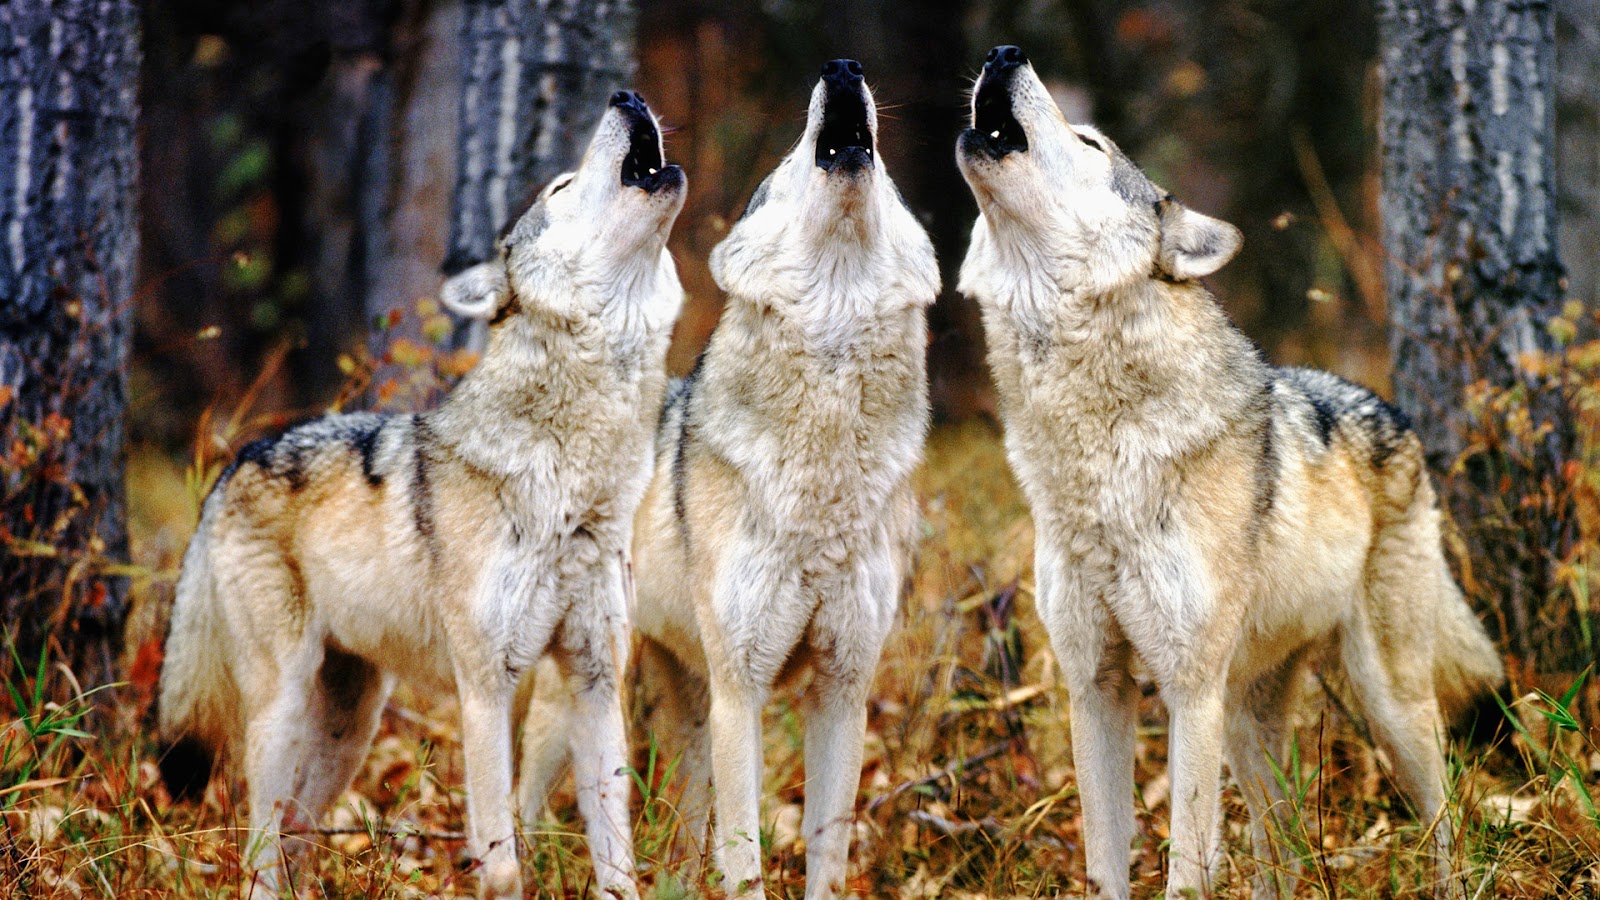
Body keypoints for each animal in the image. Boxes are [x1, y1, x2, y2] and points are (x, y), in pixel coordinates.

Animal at [156, 90, 686, 900]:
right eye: (561, 187)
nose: (626, 97)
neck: (574, 484)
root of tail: (238, 458)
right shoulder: (485, 688)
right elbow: (502, 861)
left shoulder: (595, 680)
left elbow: (617, 861)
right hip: (280, 710)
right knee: (259, 848)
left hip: (352, 725)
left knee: (298, 832)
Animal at [518, 59, 939, 899]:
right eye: (789, 161)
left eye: (891, 178)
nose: (842, 68)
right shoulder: (743, 690)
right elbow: (745, 860)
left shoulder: (843, 689)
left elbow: (826, 856)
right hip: (590, 694)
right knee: (521, 801)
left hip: (689, 706)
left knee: (682, 839)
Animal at [955, 46, 1504, 900]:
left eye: (1088, 141)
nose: (1004, 55)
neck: (1095, 456)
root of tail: (1394, 409)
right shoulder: (1095, 688)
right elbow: (1106, 863)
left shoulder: (1190, 693)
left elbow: (1186, 868)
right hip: (1251, 726)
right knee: (1287, 854)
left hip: (1385, 703)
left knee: (1446, 818)